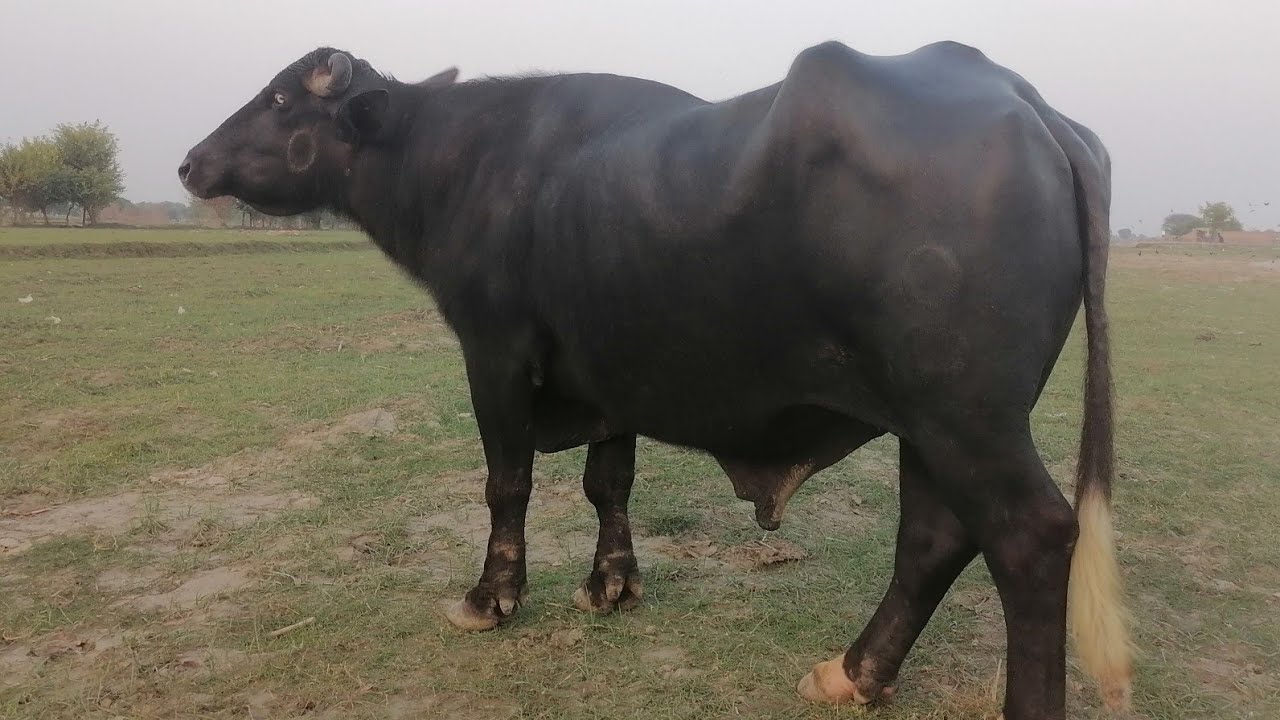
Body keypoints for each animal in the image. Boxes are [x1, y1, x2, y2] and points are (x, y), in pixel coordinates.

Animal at [179, 40, 1133, 720]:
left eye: (278, 100)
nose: (191, 164)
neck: (460, 163)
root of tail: (1027, 106)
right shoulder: (610, 374)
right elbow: (609, 482)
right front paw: (612, 585)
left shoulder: (493, 349)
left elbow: (507, 481)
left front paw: (491, 598)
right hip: (934, 422)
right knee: (934, 538)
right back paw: (851, 674)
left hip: (964, 415)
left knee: (1029, 538)